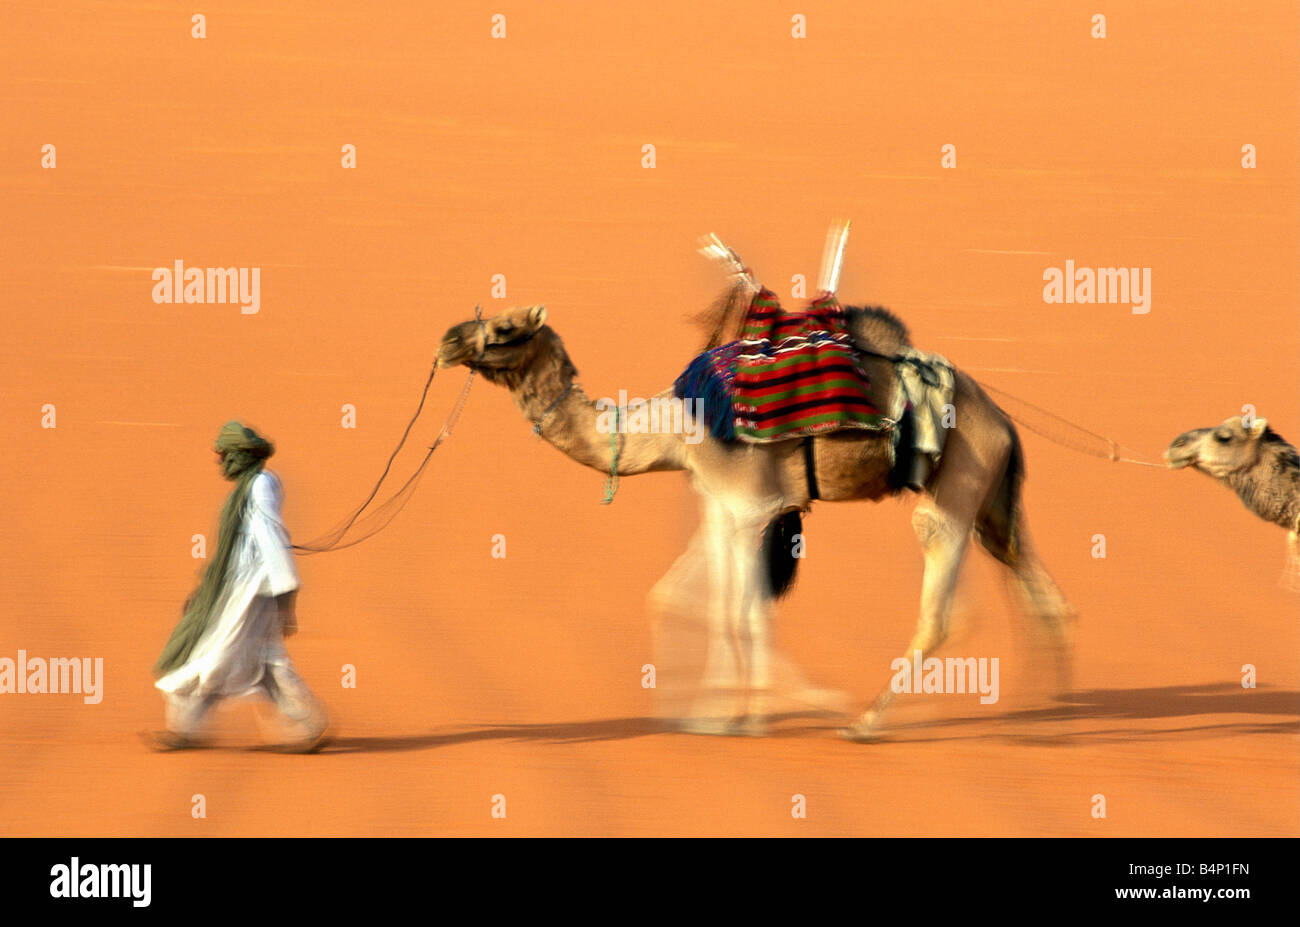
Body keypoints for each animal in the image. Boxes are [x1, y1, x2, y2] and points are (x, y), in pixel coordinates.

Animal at [434, 291, 1075, 741]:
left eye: (507, 328)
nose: (447, 340)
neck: (675, 428)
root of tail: (1003, 421)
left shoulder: (748, 508)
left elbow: (744, 614)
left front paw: (759, 715)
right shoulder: (720, 506)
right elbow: (703, 603)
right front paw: (710, 715)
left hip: (956, 488)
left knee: (945, 610)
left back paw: (864, 723)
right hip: (991, 503)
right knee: (1041, 594)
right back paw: (1054, 714)